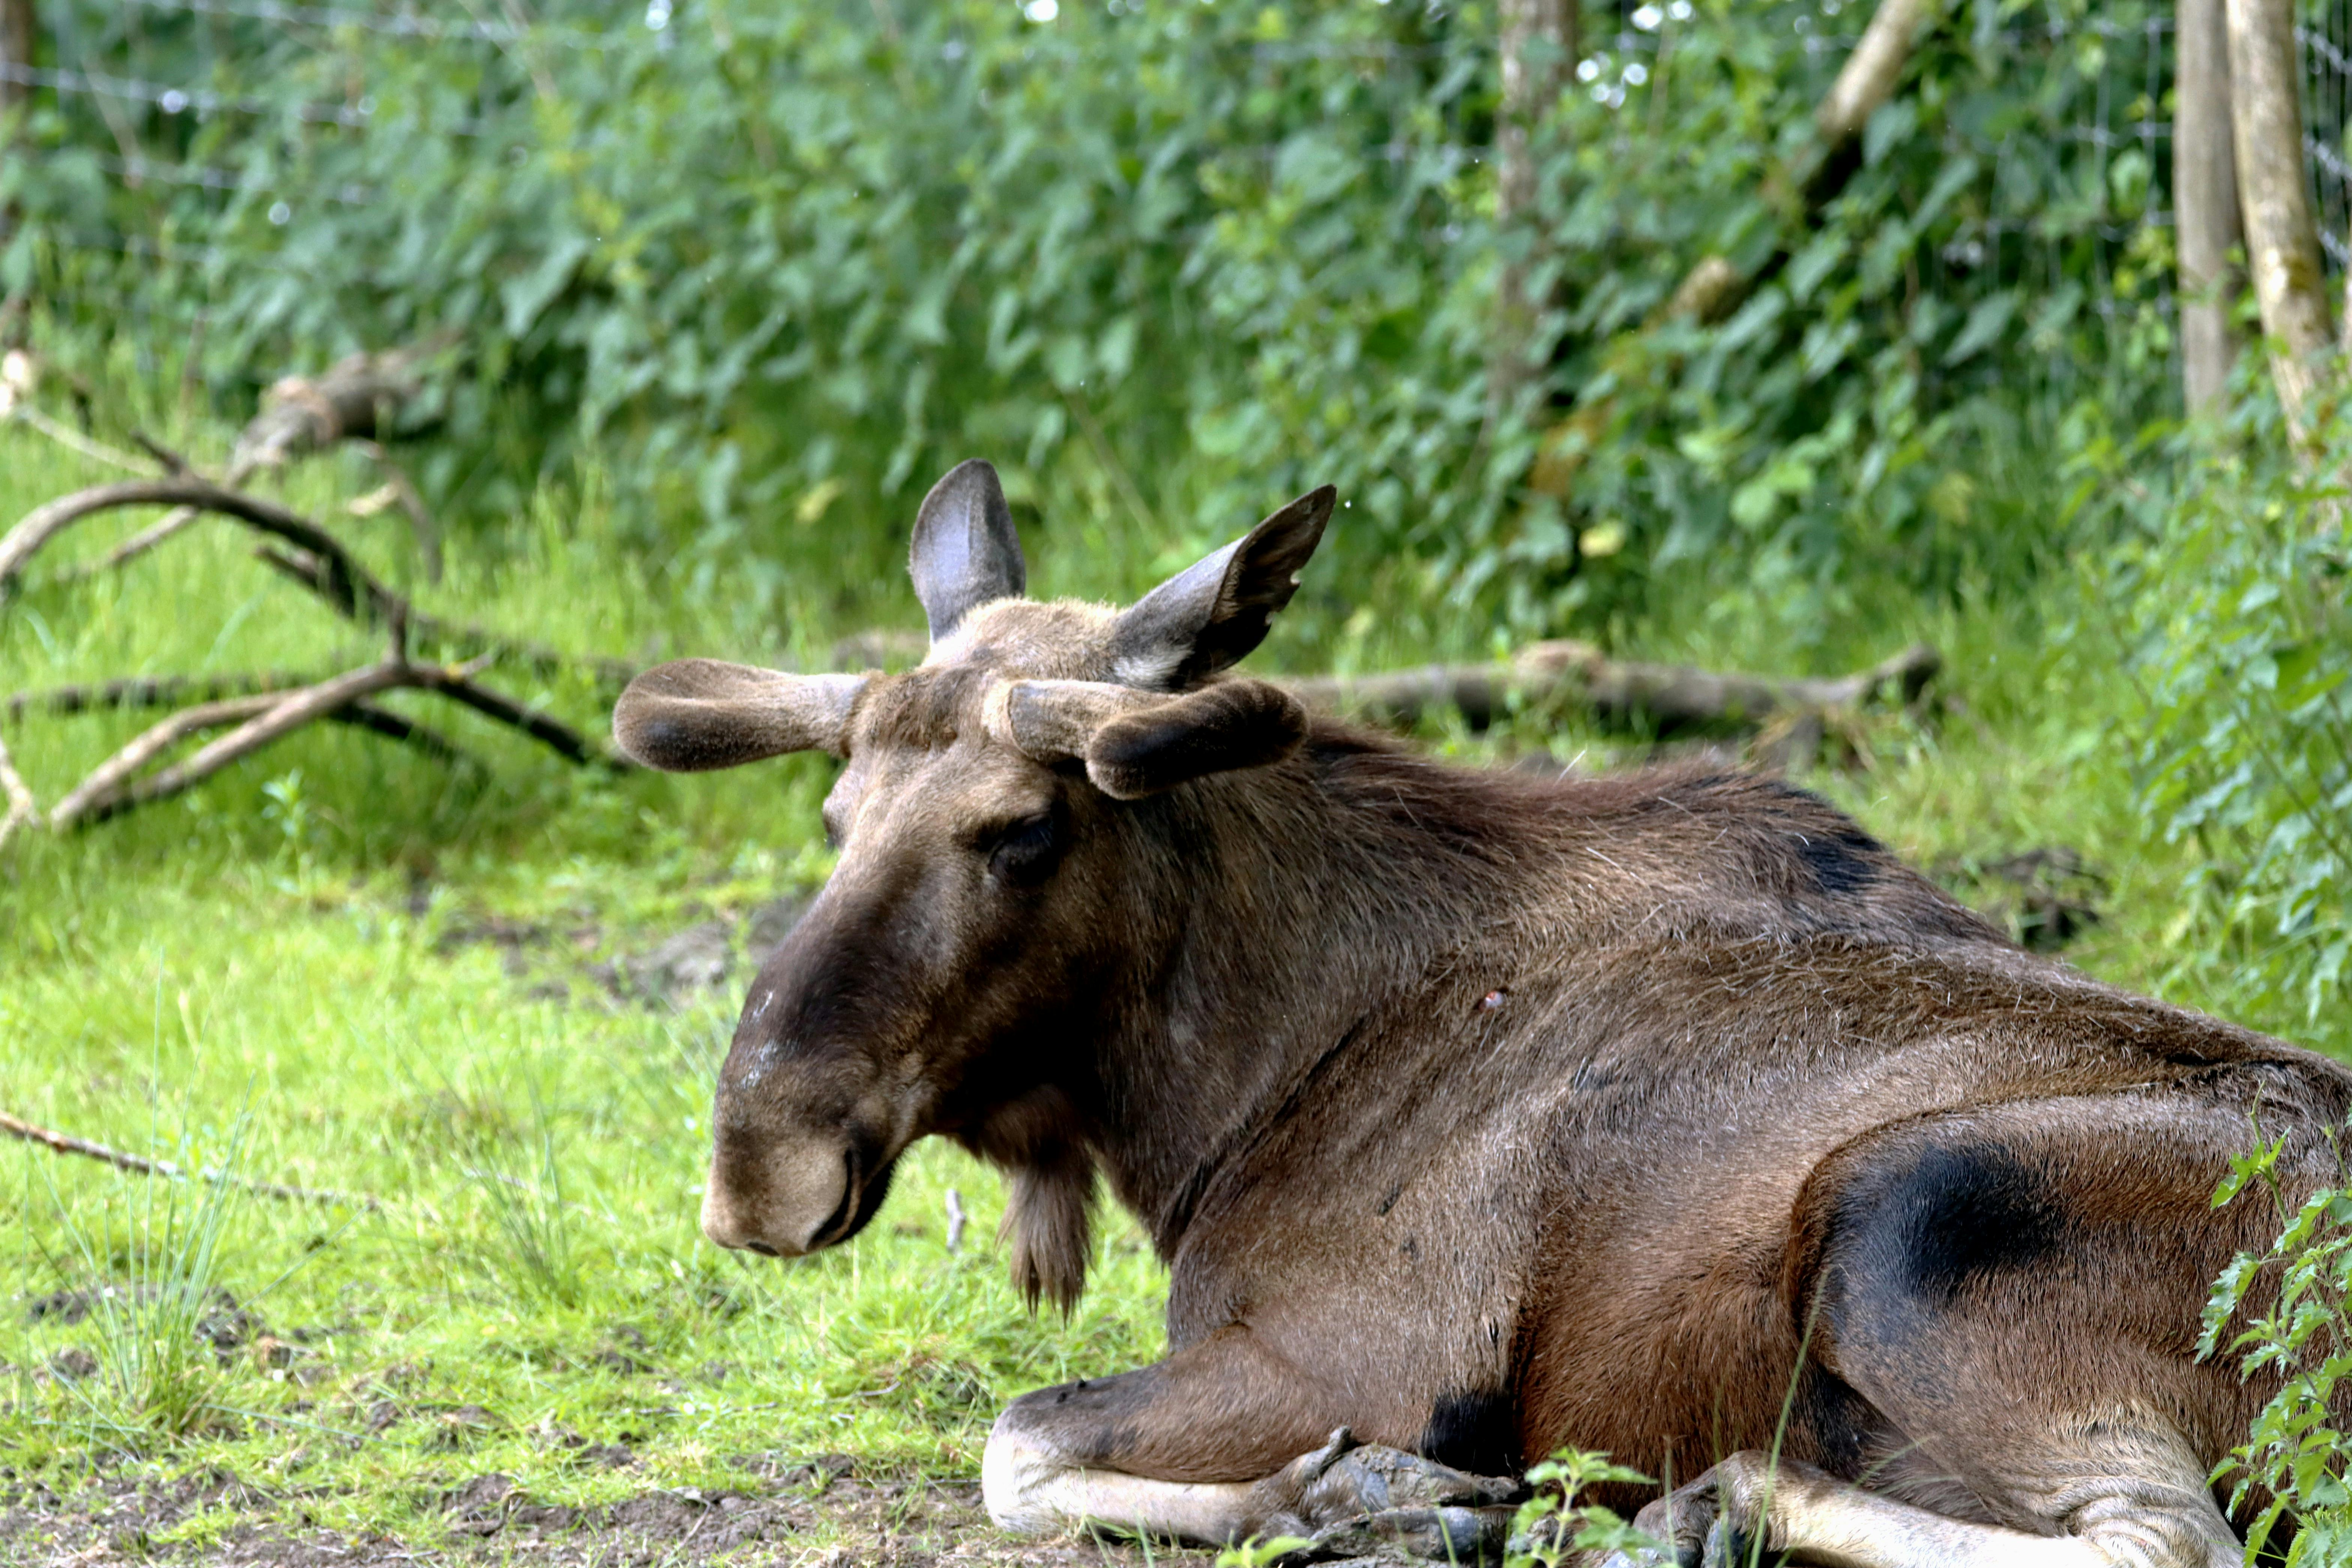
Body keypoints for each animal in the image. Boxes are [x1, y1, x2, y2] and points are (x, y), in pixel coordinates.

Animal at [613, 458, 2352, 1566]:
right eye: (833, 815)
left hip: (1903, 1207)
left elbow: (1018, 1439)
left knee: (2163, 1543)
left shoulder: (1354, 1348)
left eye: (1022, 827)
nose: (758, 1162)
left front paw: (1361, 1500)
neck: (1219, 1092)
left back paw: (1702, 1501)